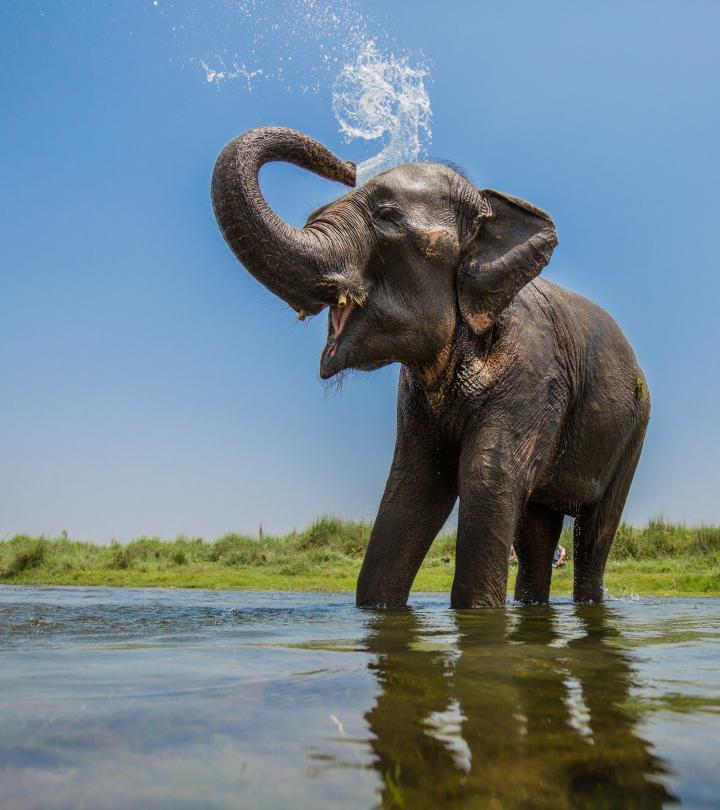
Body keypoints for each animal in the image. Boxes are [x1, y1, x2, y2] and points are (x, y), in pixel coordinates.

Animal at [211, 126, 650, 608]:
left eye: (385, 216)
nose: (347, 167)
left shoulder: (536, 372)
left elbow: (489, 477)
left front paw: (477, 614)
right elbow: (414, 487)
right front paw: (379, 608)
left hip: (634, 428)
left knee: (596, 528)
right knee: (536, 526)